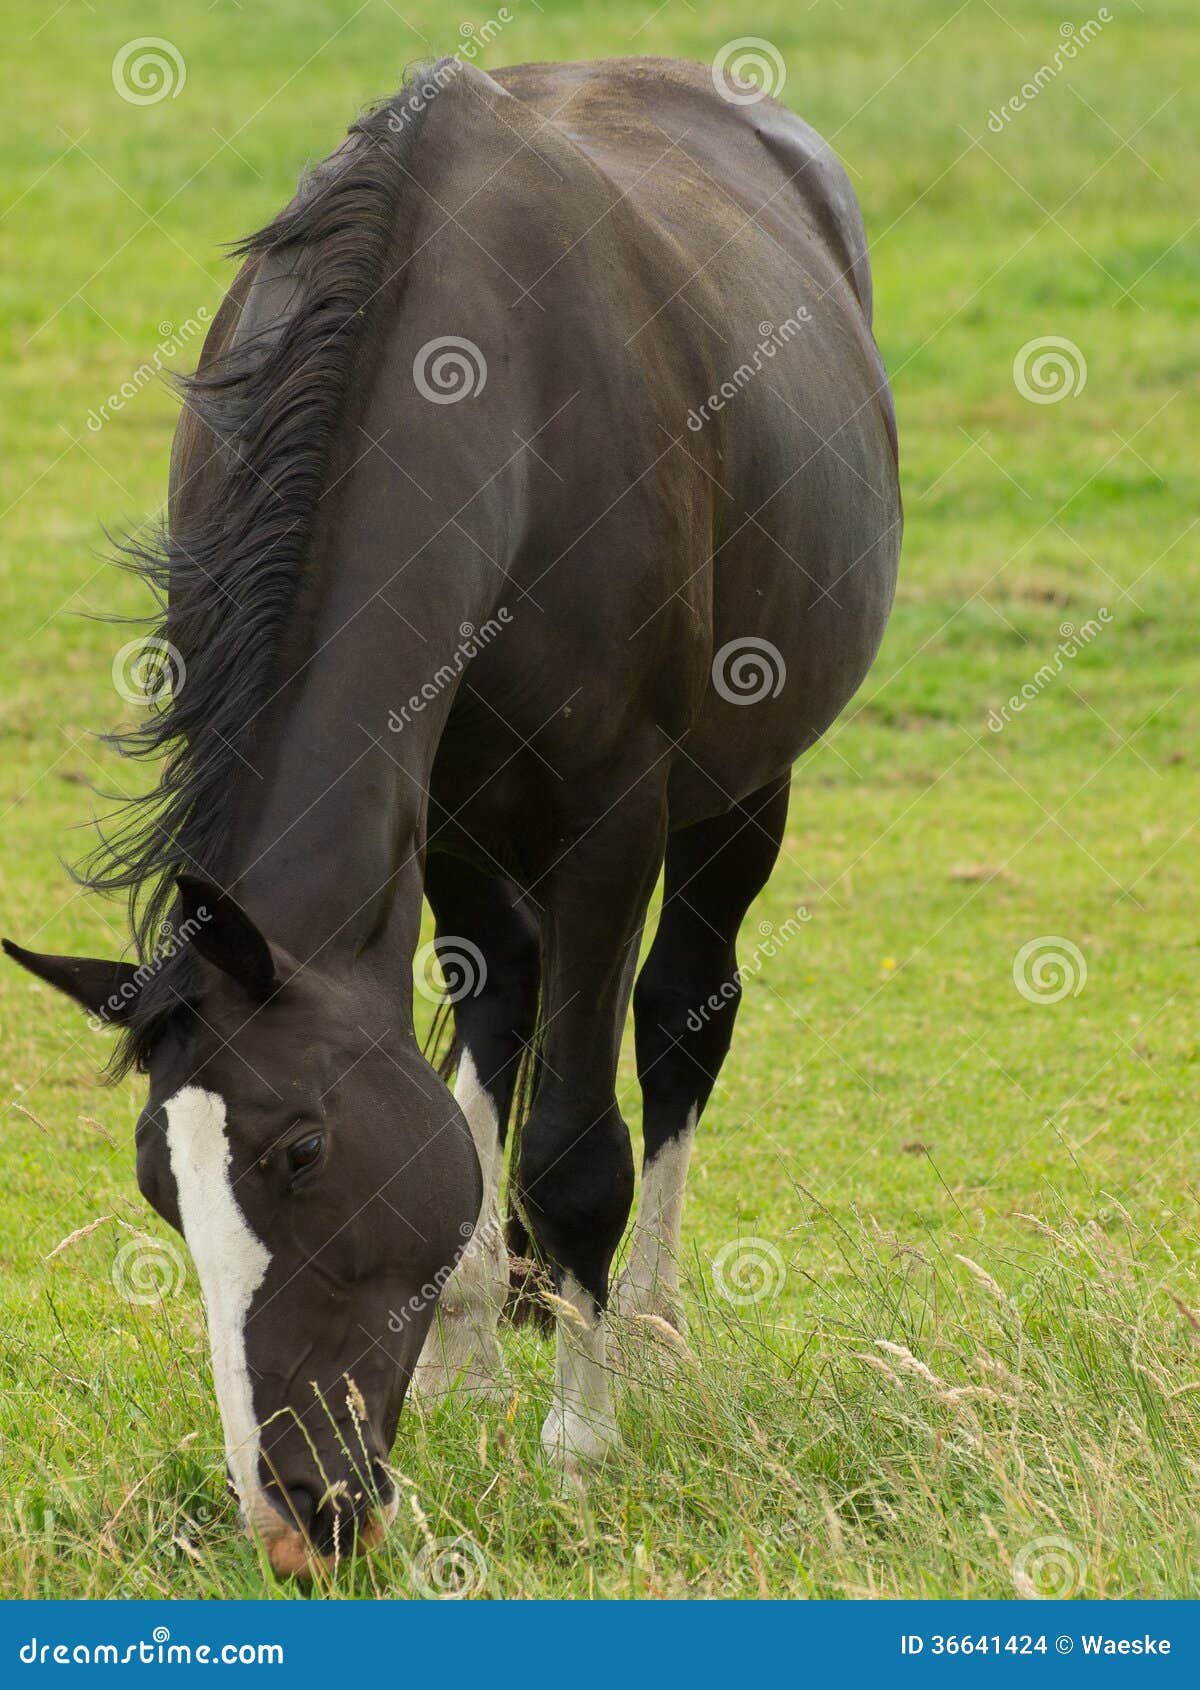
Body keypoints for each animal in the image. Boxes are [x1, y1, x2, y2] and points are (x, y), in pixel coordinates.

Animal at [5, 55, 900, 1578]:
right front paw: (472, 1363)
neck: (488, 379)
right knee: (508, 1007)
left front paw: (580, 1441)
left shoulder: (614, 818)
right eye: (158, 1189)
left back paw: (640, 1324)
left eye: (301, 1151)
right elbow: (482, 1081)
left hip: (741, 795)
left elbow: (578, 1148)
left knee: (680, 1019)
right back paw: (487, 1338)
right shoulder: (446, 819)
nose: (296, 1517)